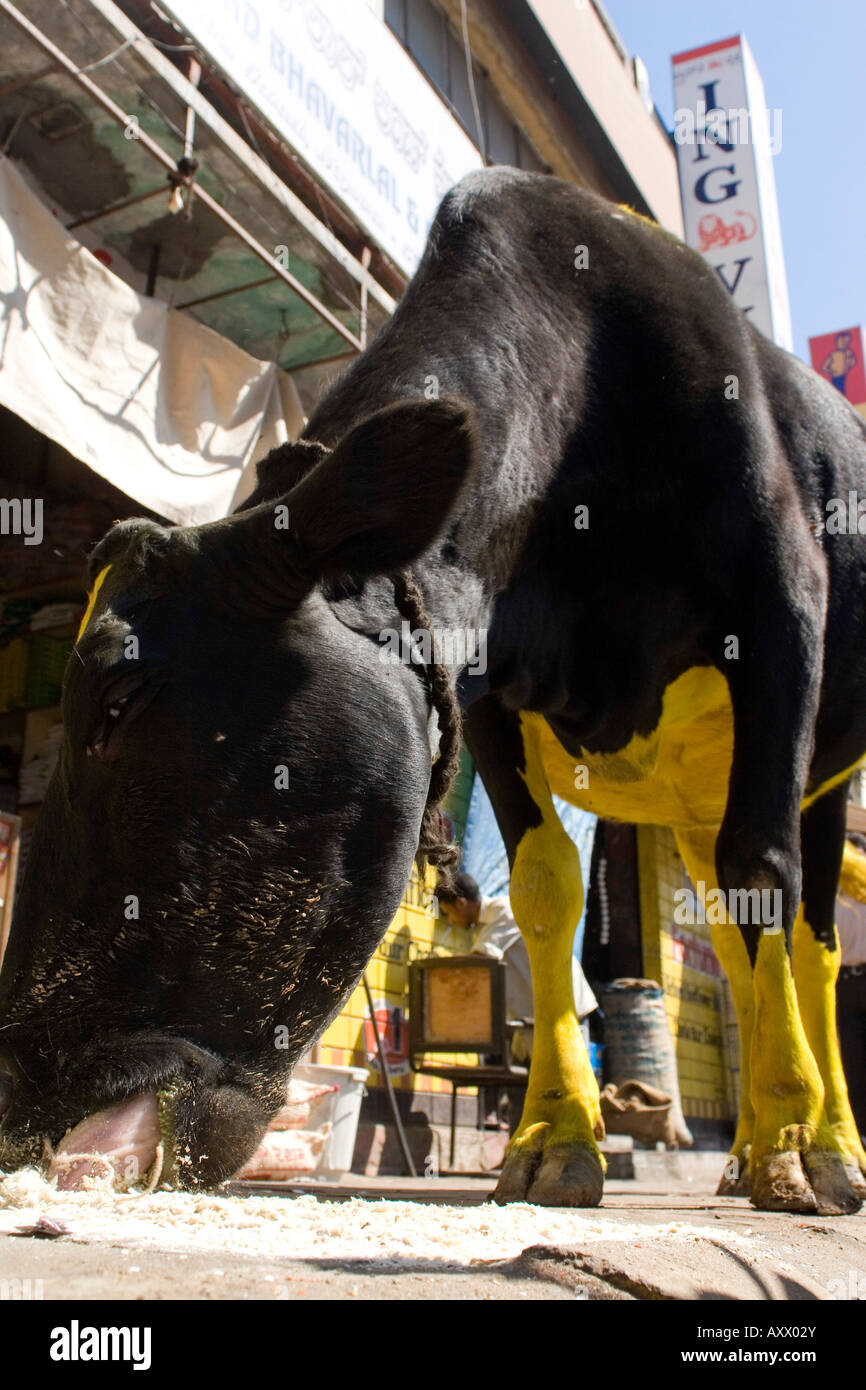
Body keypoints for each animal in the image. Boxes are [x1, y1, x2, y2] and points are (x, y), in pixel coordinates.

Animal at [1, 167, 865, 1213]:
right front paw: (554, 1139)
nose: (14, 1095)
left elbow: (762, 873)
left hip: (825, 775)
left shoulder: (782, 607)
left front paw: (797, 1144)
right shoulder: (488, 691)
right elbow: (544, 888)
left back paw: (819, 1140)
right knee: (736, 943)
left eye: (119, 701)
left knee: (809, 944)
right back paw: (740, 1148)